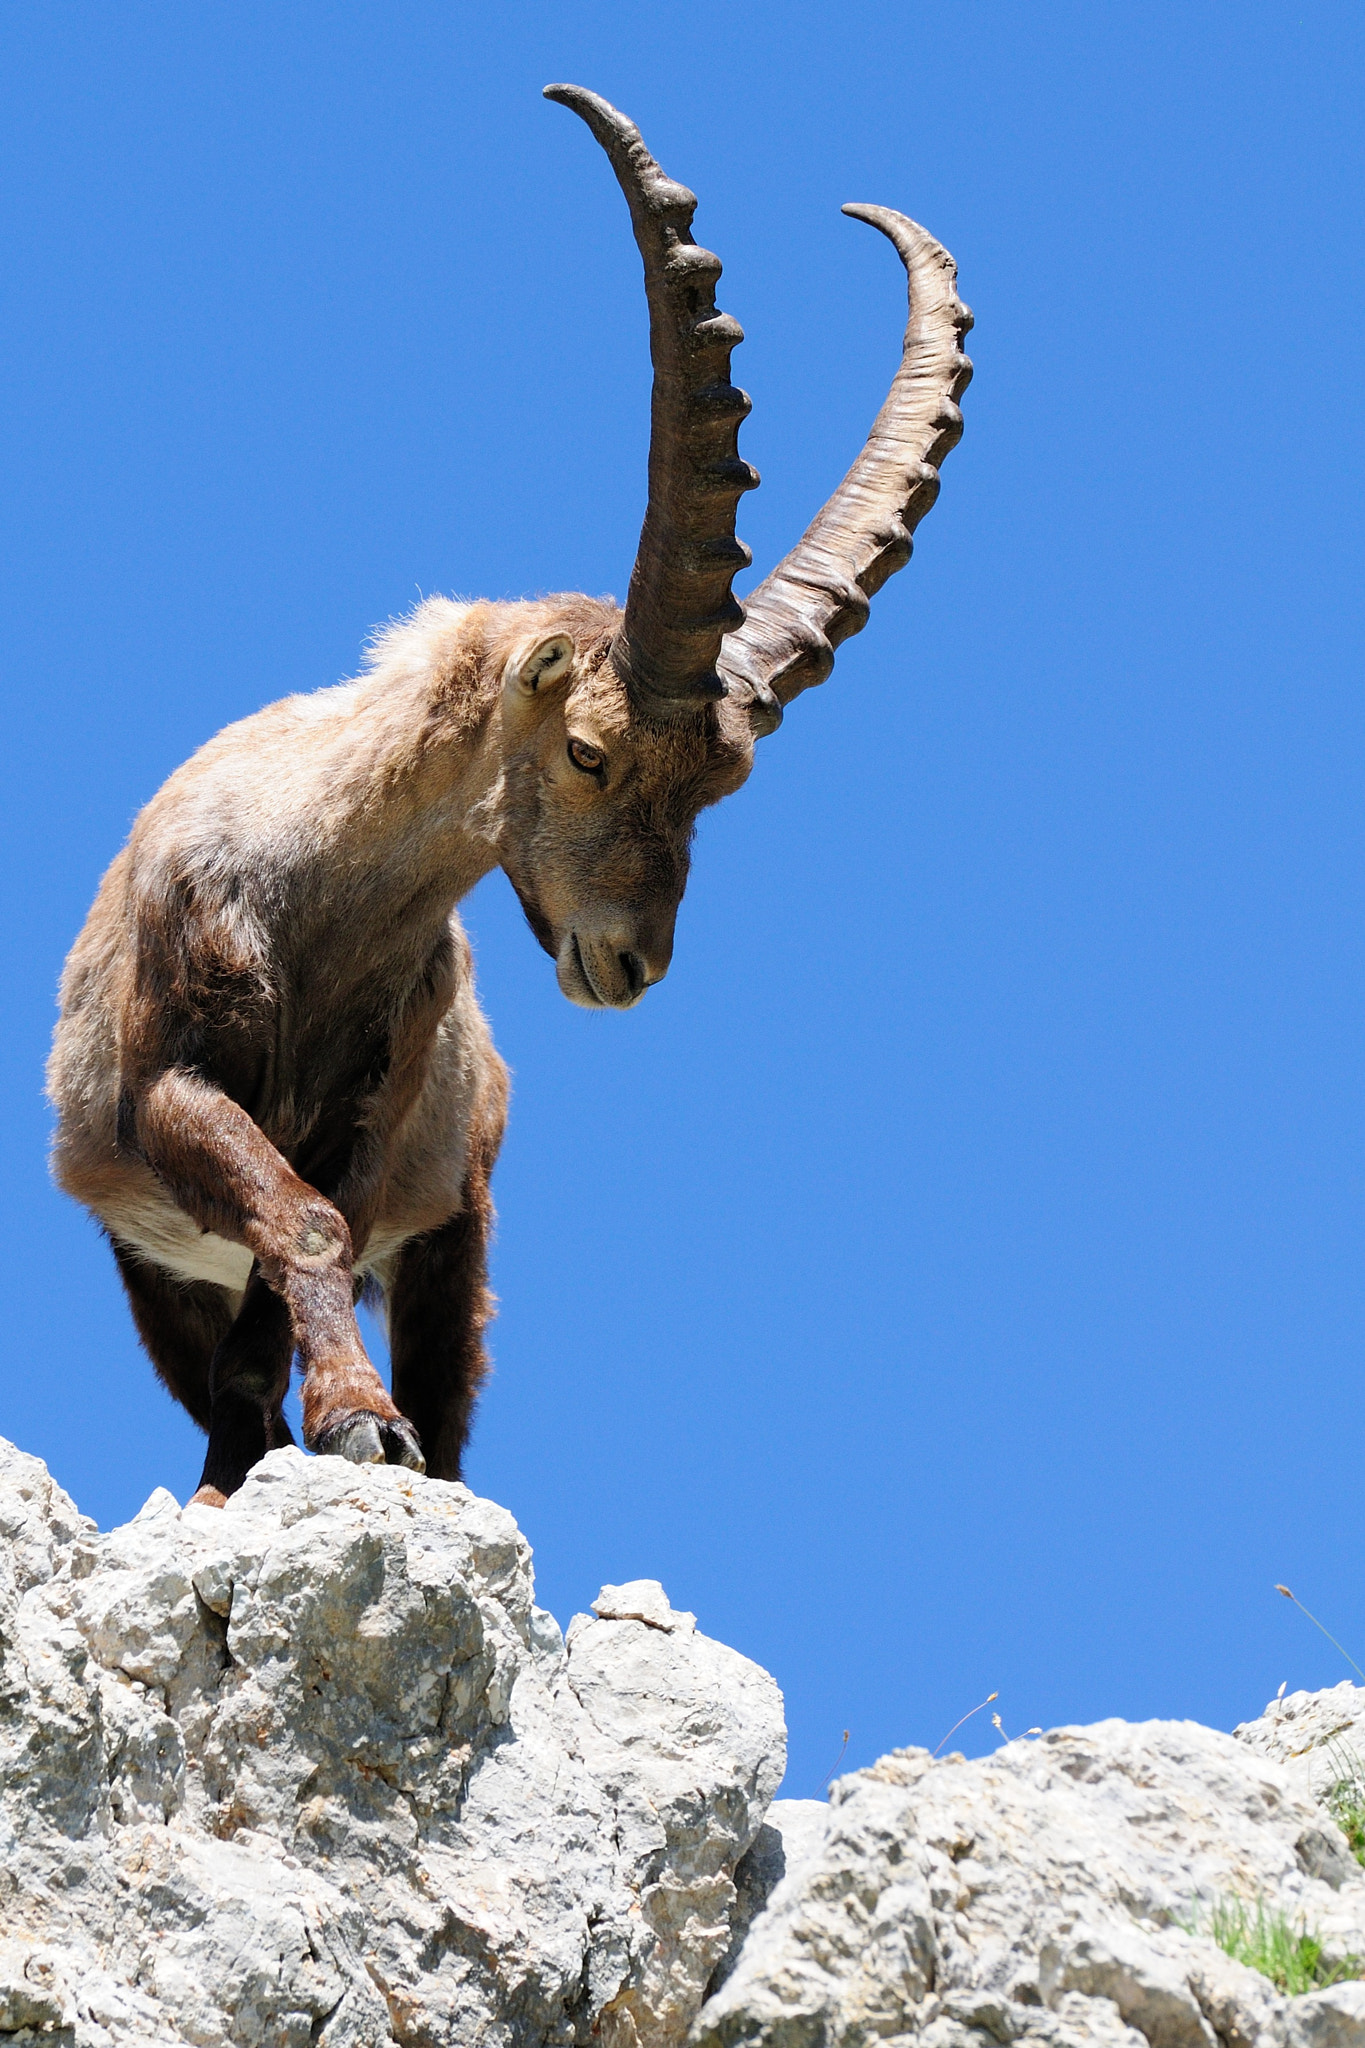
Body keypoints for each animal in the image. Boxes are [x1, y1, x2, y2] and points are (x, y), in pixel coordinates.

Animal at [47, 86, 972, 1506]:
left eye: (722, 781)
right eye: (589, 751)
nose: (632, 960)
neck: (318, 898)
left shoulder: (380, 1107)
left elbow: (314, 1226)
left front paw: (356, 1423)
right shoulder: (168, 1086)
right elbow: (291, 1222)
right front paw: (341, 1427)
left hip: (459, 1228)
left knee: (437, 1374)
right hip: (147, 1259)